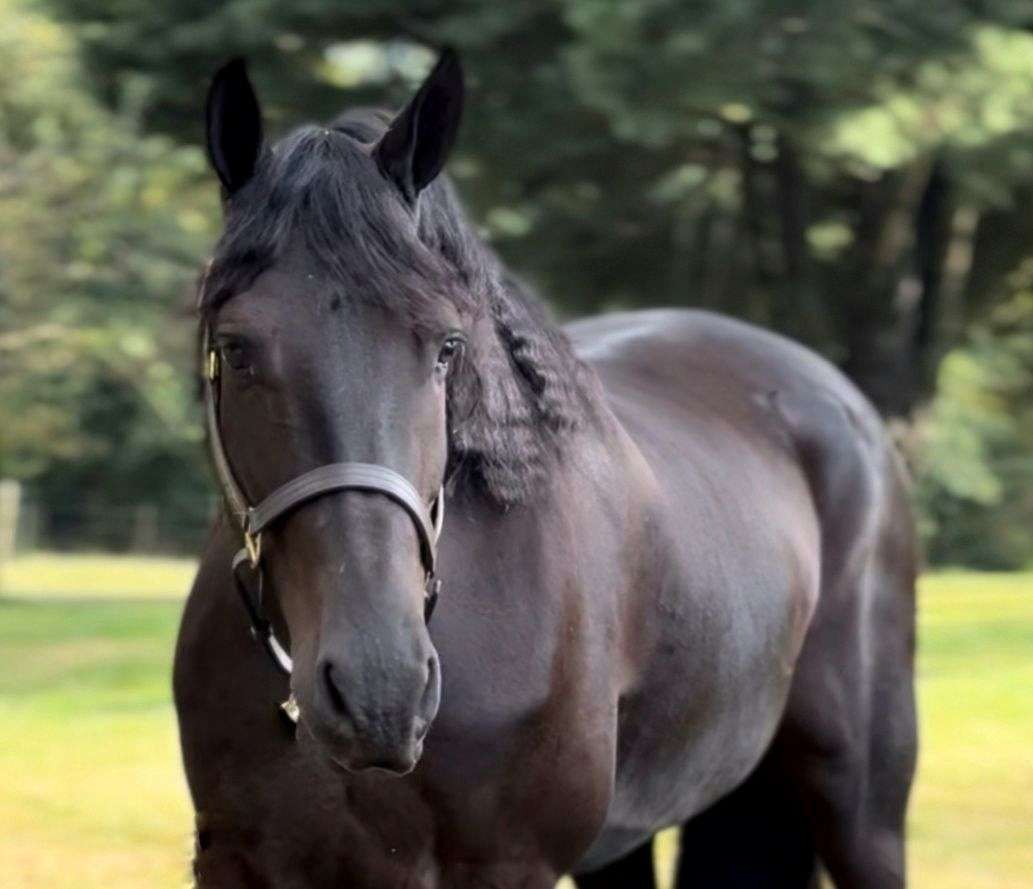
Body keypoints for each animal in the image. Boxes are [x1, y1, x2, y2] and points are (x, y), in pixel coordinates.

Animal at [174, 50, 917, 889]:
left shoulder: (508, 863)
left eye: (446, 346)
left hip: (860, 804)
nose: (379, 689)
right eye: (234, 347)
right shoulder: (236, 861)